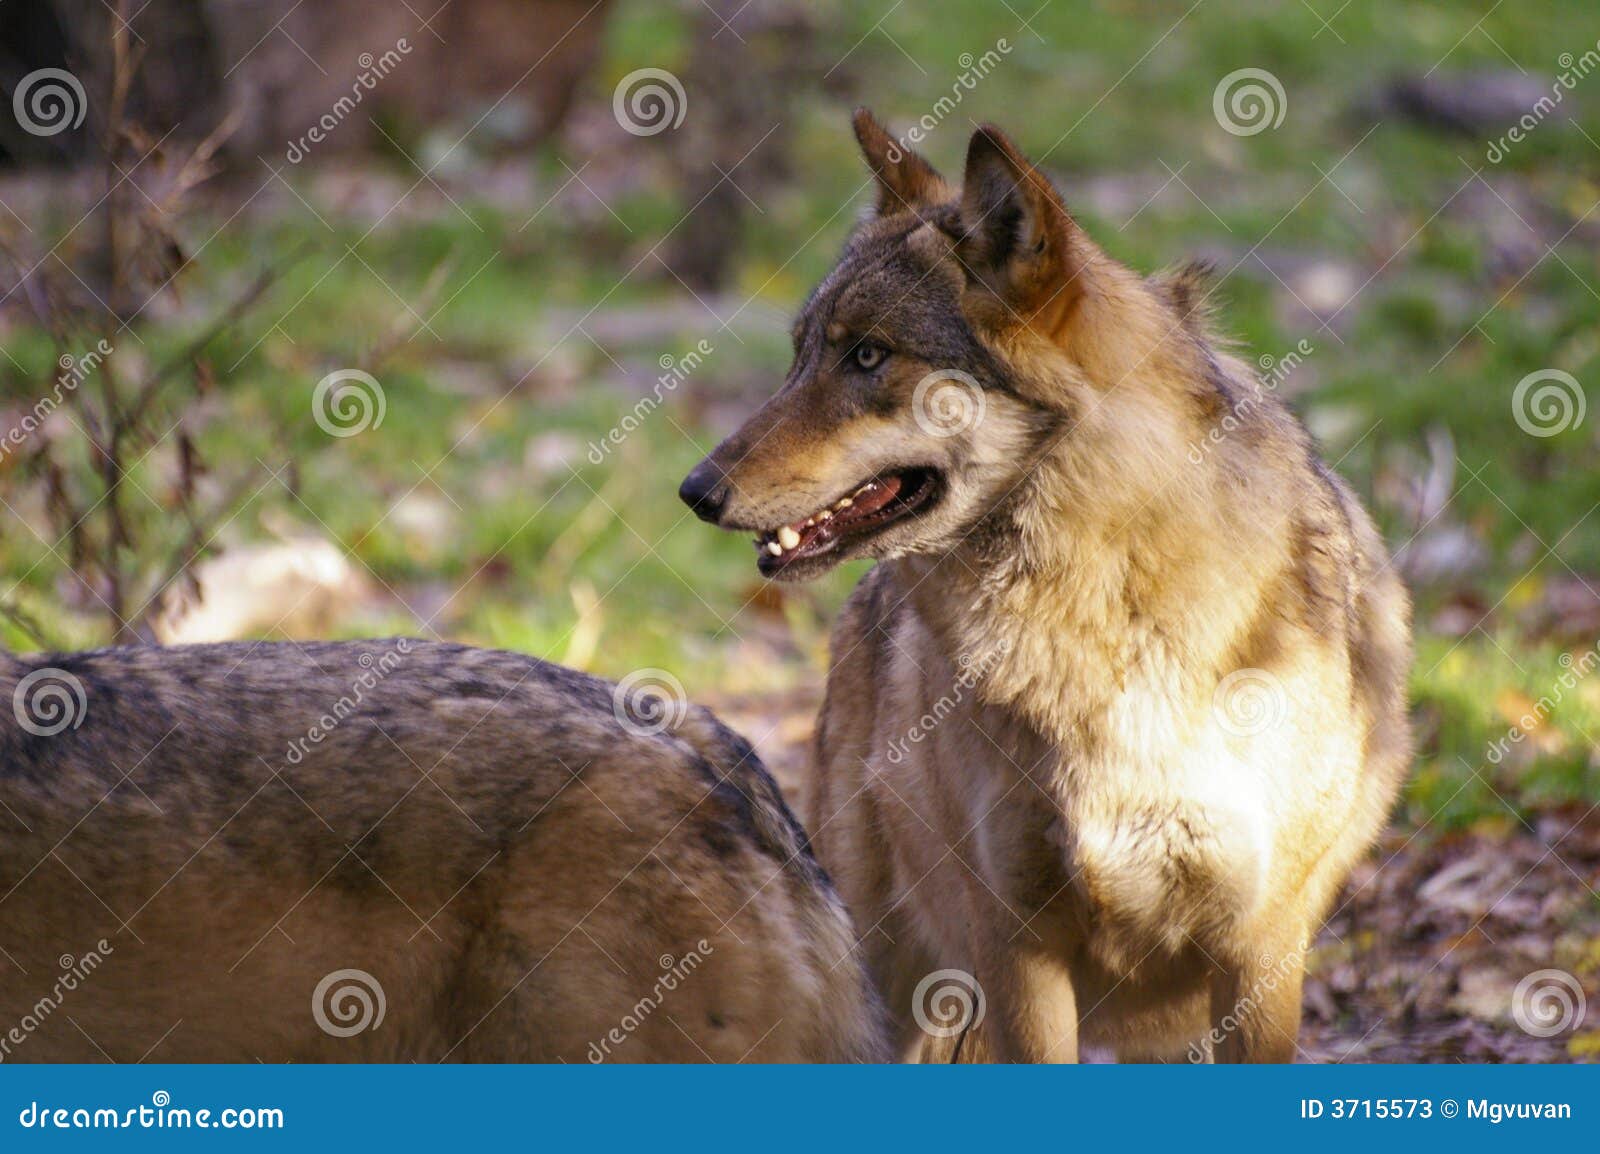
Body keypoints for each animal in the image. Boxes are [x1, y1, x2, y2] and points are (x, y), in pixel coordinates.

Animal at [680, 110, 1412, 1062]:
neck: (1102, 604)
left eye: (869, 355)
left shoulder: (1256, 955)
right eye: (802, 355)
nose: (696, 490)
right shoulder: (1017, 947)